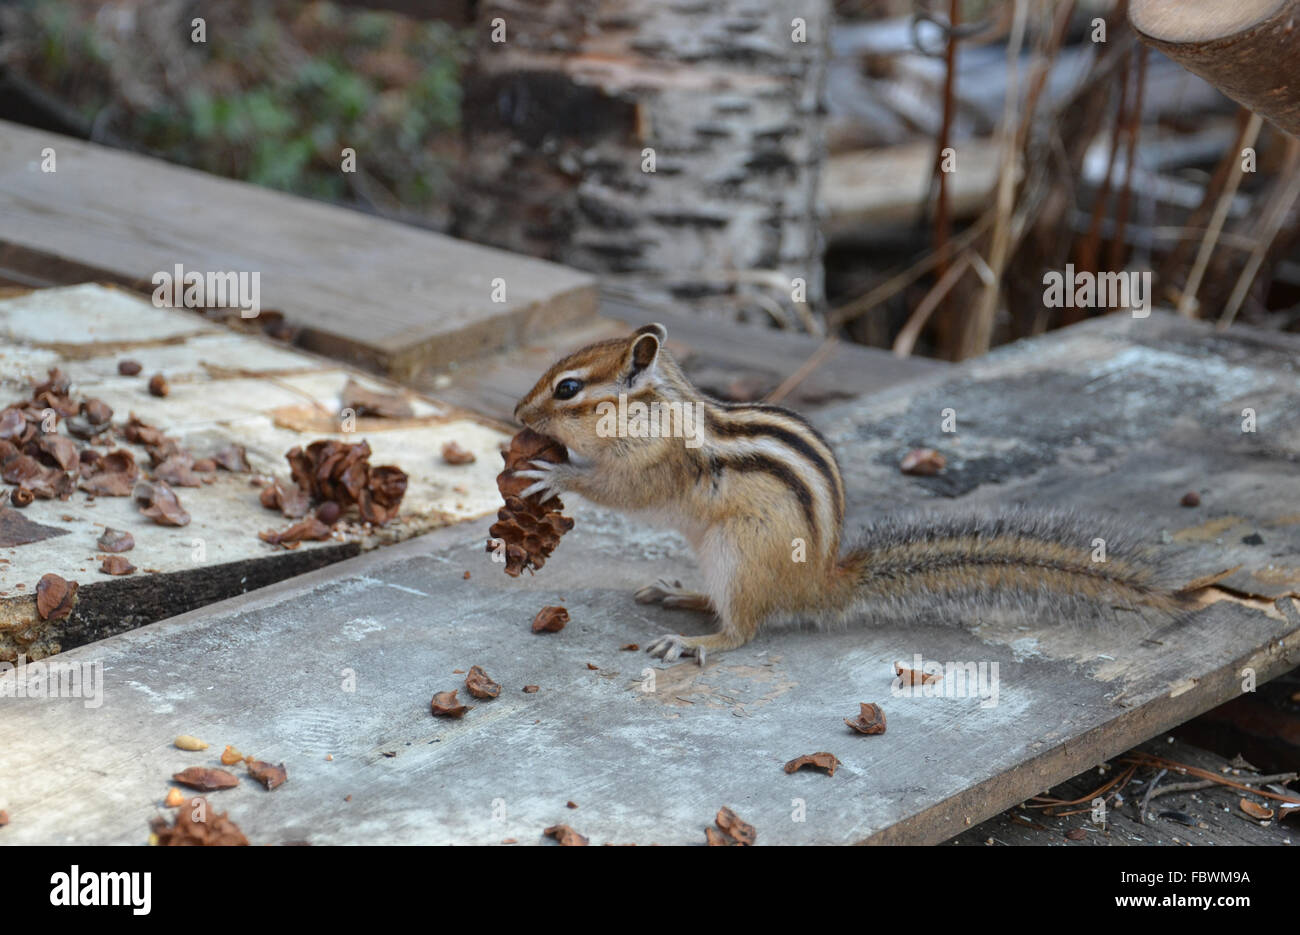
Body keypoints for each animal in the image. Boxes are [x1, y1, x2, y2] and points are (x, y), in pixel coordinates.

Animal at [513, 323, 1195, 665]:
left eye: (568, 388)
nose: (517, 412)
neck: (656, 412)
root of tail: (819, 583)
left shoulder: (656, 466)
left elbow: (618, 490)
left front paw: (555, 474)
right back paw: (680, 593)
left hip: (738, 556)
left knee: (743, 631)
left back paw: (694, 640)